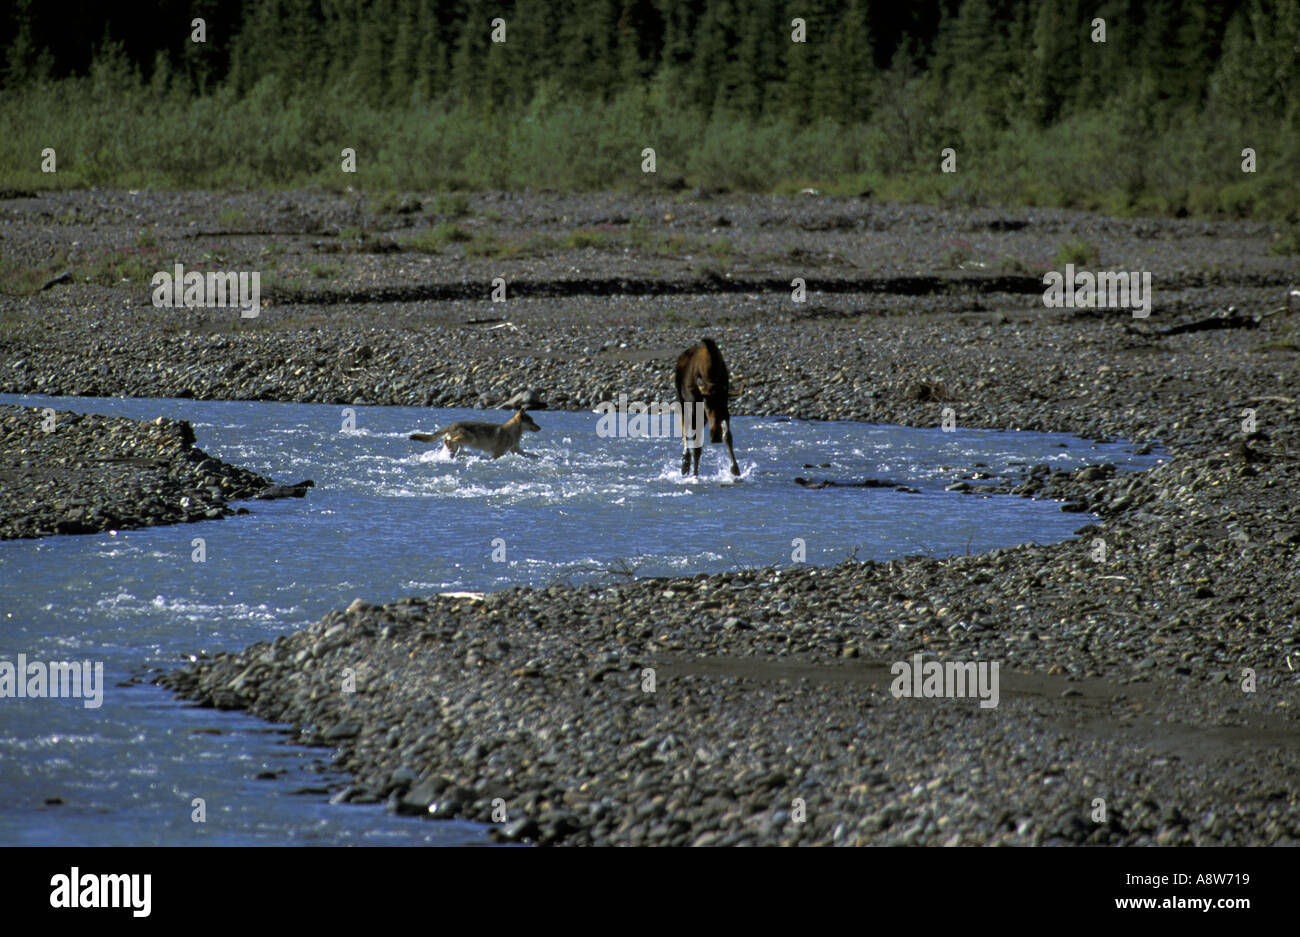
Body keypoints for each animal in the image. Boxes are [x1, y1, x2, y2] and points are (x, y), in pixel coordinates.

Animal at [675, 337, 740, 476]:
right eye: (706, 403)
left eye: (721, 403)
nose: (715, 436)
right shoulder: (696, 409)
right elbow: (696, 445)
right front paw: (695, 474)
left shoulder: (725, 408)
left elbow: (728, 436)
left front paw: (735, 469)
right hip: (682, 401)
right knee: (684, 426)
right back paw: (685, 463)